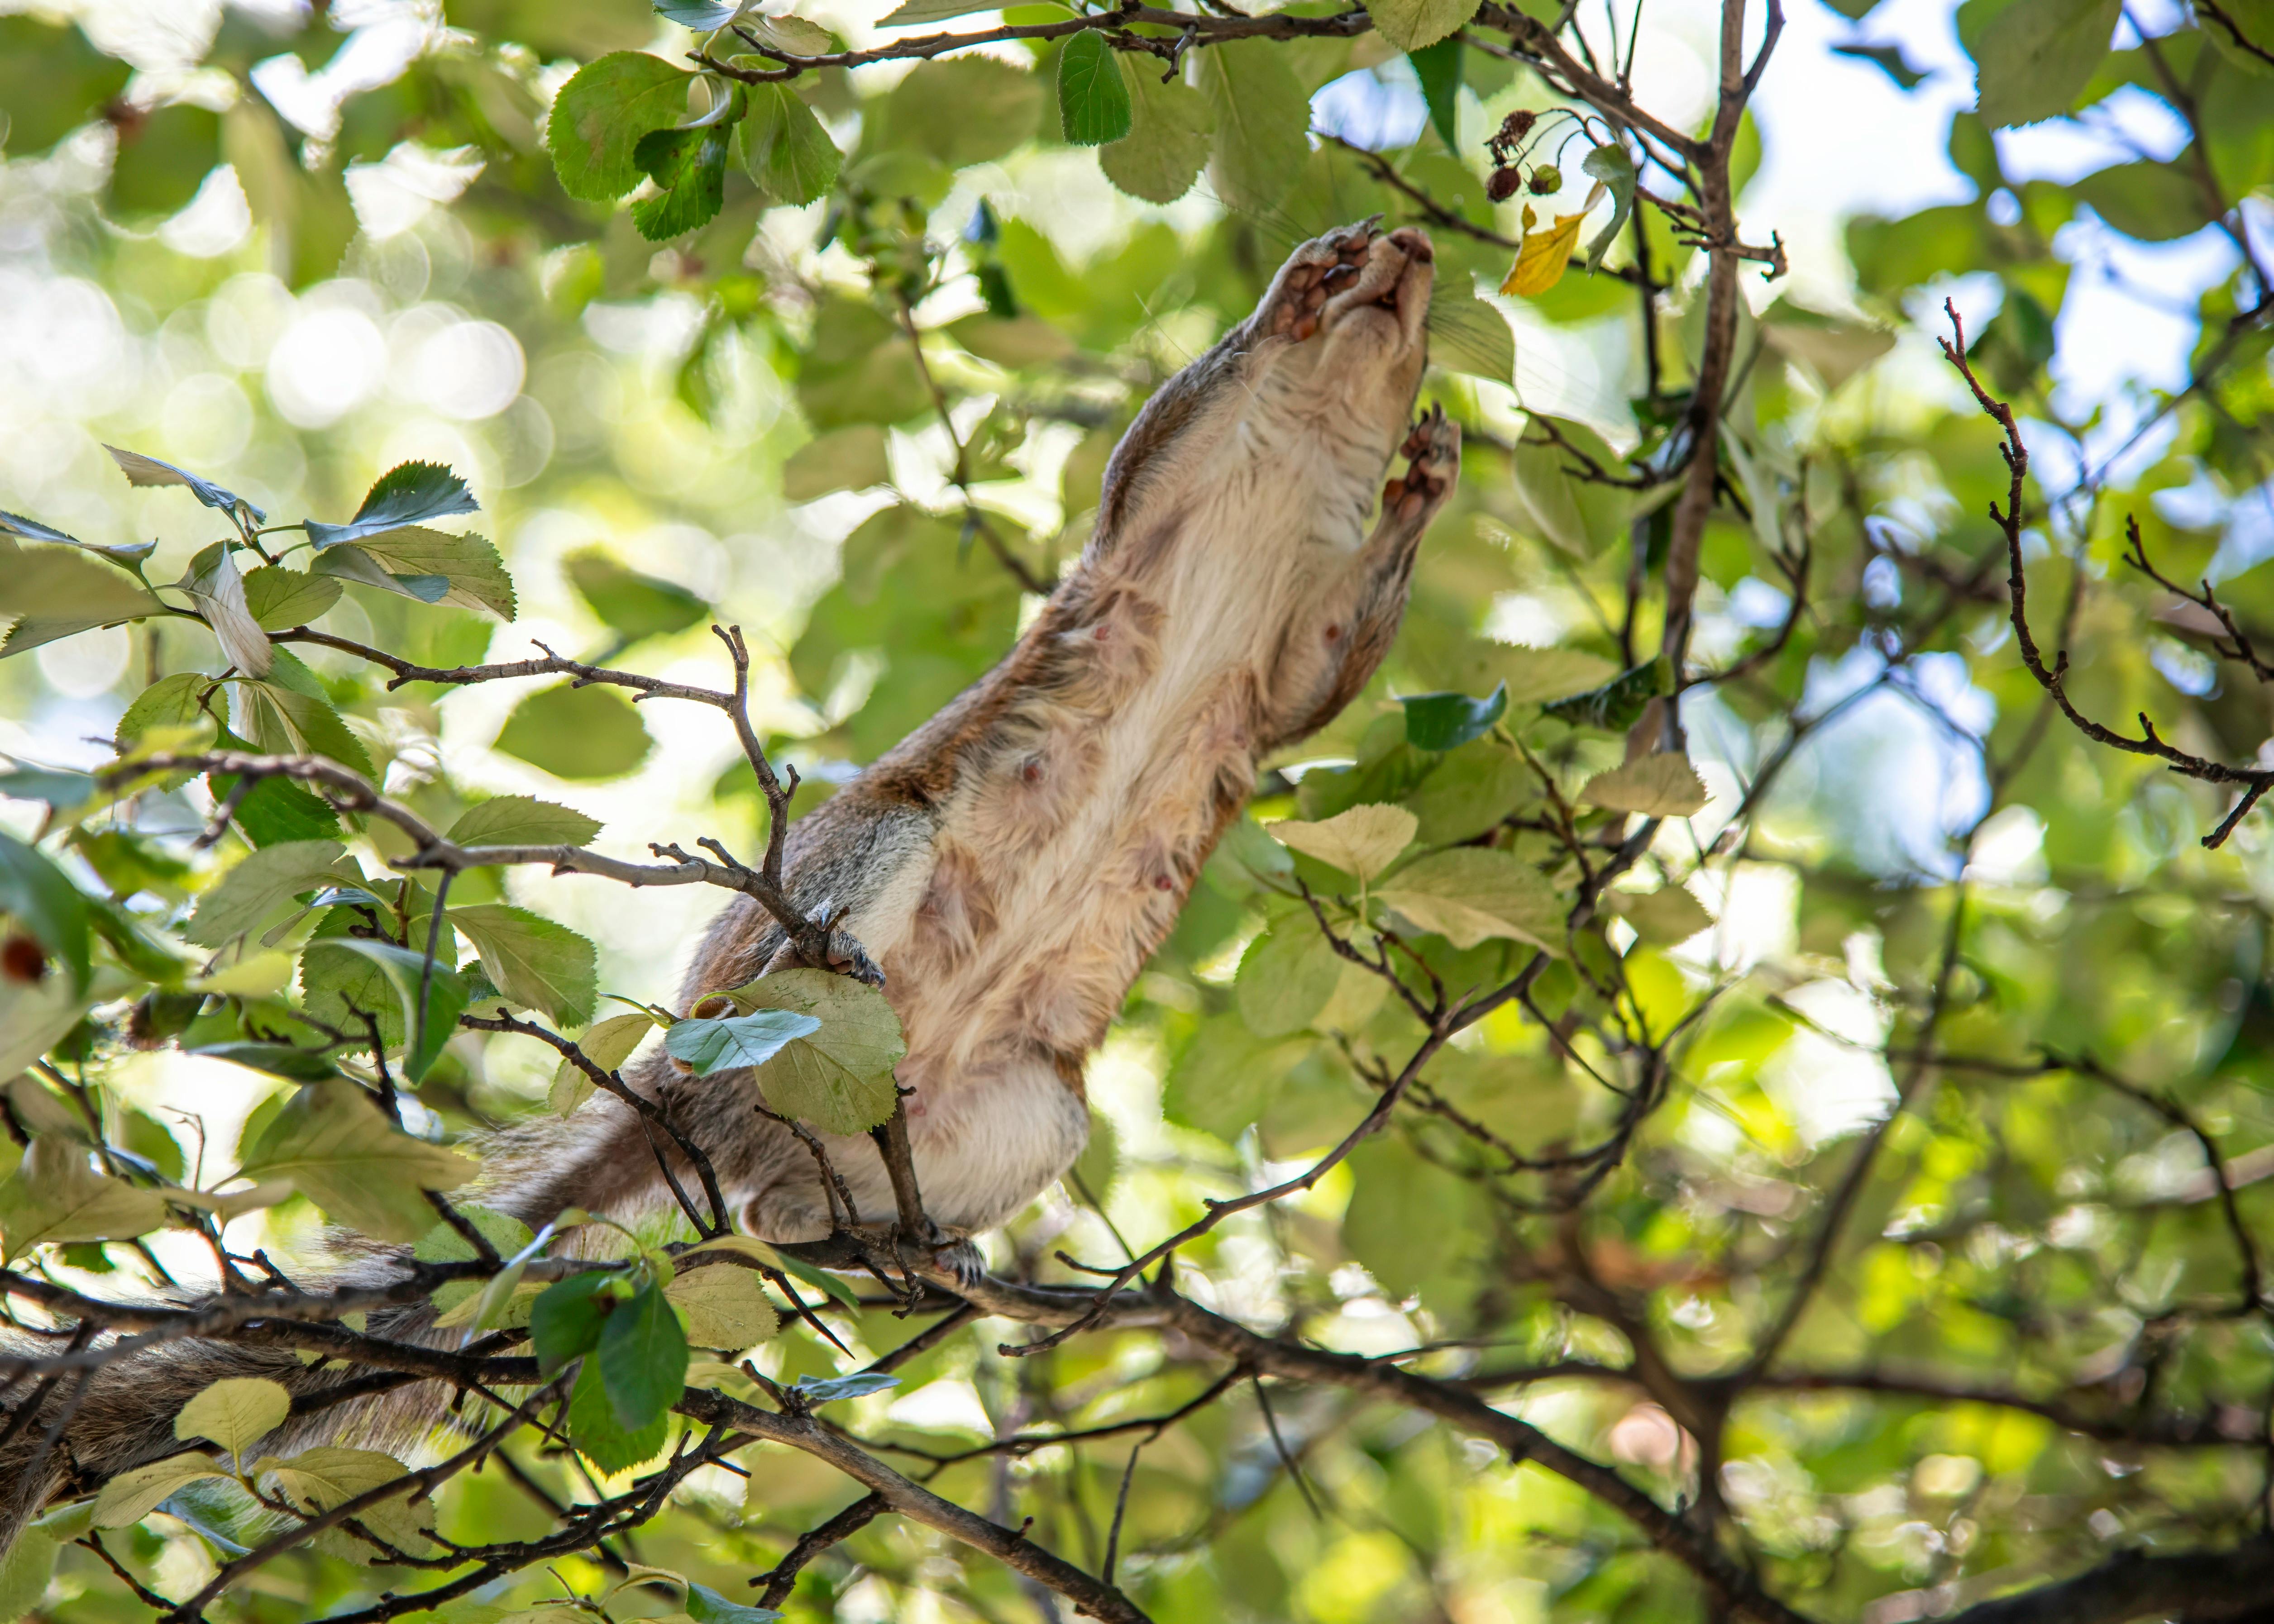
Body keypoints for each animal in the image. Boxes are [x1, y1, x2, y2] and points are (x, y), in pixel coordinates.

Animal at [0, 220, 1460, 1549]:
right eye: (1348, 255)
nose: (1407, 248)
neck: (1301, 455)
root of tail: (693, 1106)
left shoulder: (1286, 656)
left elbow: (1329, 671)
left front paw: (1430, 474)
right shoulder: (1148, 503)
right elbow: (1155, 441)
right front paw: (1310, 317)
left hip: (1029, 1113)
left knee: (773, 1206)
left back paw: (906, 1243)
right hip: (865, 859)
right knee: (771, 1078)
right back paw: (804, 987)